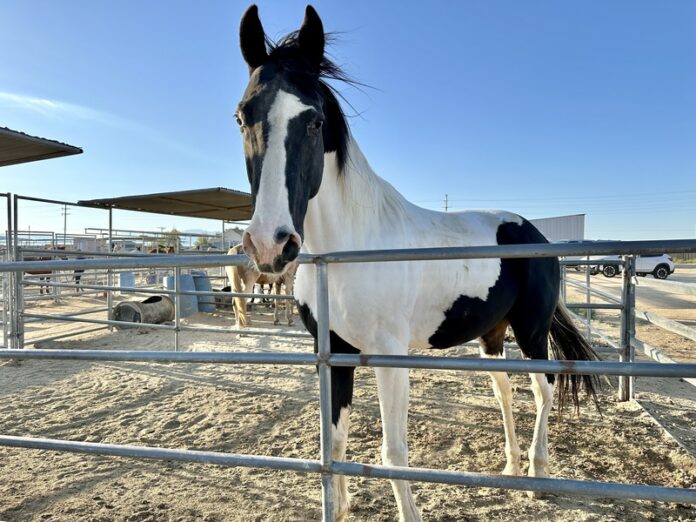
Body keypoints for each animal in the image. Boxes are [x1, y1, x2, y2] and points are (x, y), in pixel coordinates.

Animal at [235, 6, 599, 520]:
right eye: (242, 116)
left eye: (314, 121)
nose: (270, 244)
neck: (348, 251)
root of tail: (534, 233)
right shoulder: (333, 353)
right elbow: (335, 442)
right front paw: (339, 506)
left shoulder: (390, 357)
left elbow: (394, 453)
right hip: (492, 334)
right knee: (504, 390)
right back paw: (510, 467)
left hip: (532, 330)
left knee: (542, 389)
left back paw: (537, 473)